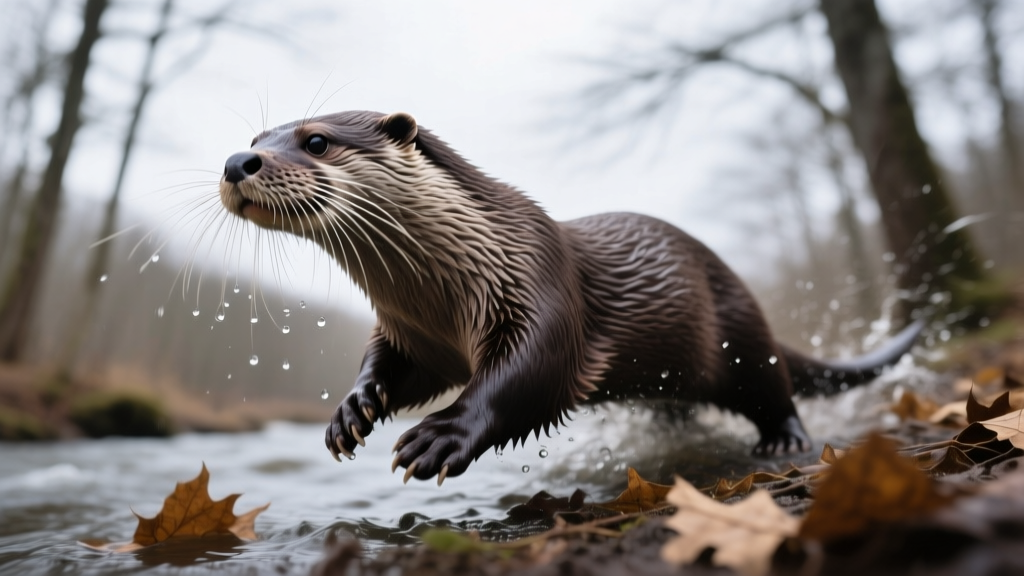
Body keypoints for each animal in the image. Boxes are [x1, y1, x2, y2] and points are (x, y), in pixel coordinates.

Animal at [219, 110, 923, 485]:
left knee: (773, 388)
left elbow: (534, 374)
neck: (443, 295)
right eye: (255, 139)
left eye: (316, 140)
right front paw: (353, 409)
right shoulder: (412, 335)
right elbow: (393, 368)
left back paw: (783, 442)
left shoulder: (541, 288)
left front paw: (441, 435)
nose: (235, 162)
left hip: (739, 328)